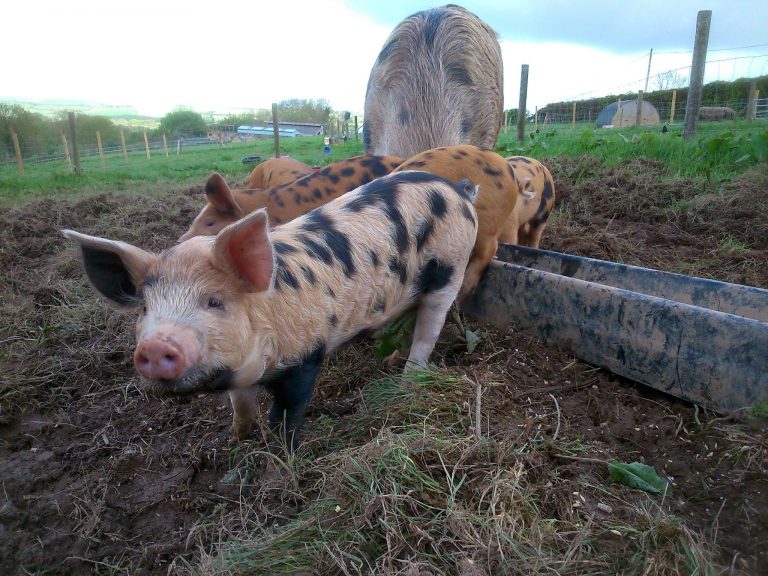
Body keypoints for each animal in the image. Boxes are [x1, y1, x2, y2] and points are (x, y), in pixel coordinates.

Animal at [63, 171, 478, 450]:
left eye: (214, 302)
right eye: (146, 308)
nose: (155, 345)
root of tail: (458, 189)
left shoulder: (305, 356)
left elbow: (287, 413)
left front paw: (282, 455)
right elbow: (240, 405)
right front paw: (235, 439)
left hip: (452, 268)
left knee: (429, 329)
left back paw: (407, 380)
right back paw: (390, 359)